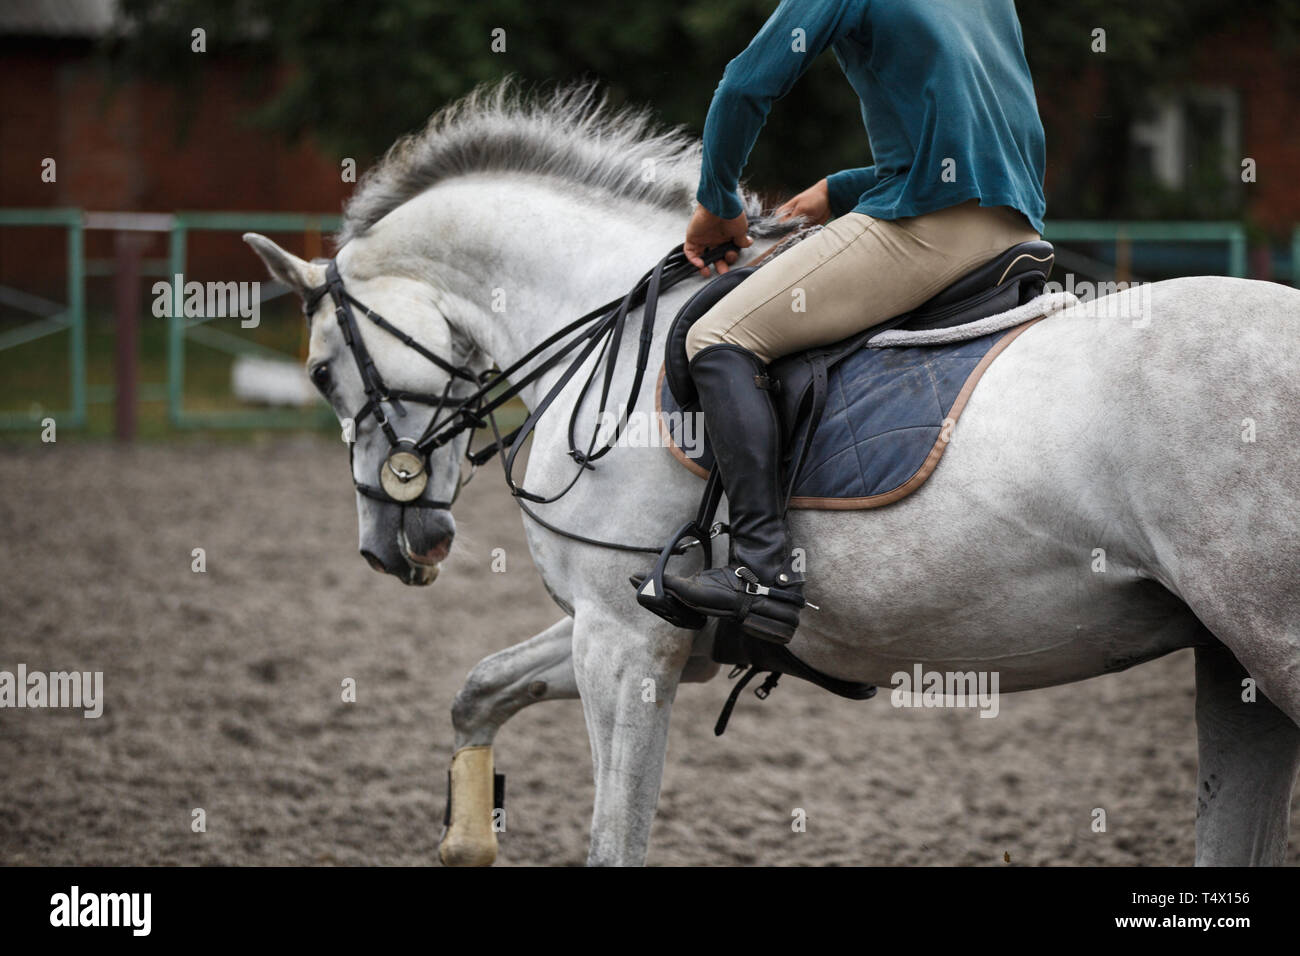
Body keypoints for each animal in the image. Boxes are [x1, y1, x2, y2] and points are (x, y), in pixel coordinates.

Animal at [247, 79, 1300, 866]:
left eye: (322, 370)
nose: (393, 545)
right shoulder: (632, 628)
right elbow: (476, 689)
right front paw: (467, 839)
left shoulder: (623, 641)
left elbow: (614, 838)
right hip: (1230, 661)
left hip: (1270, 640)